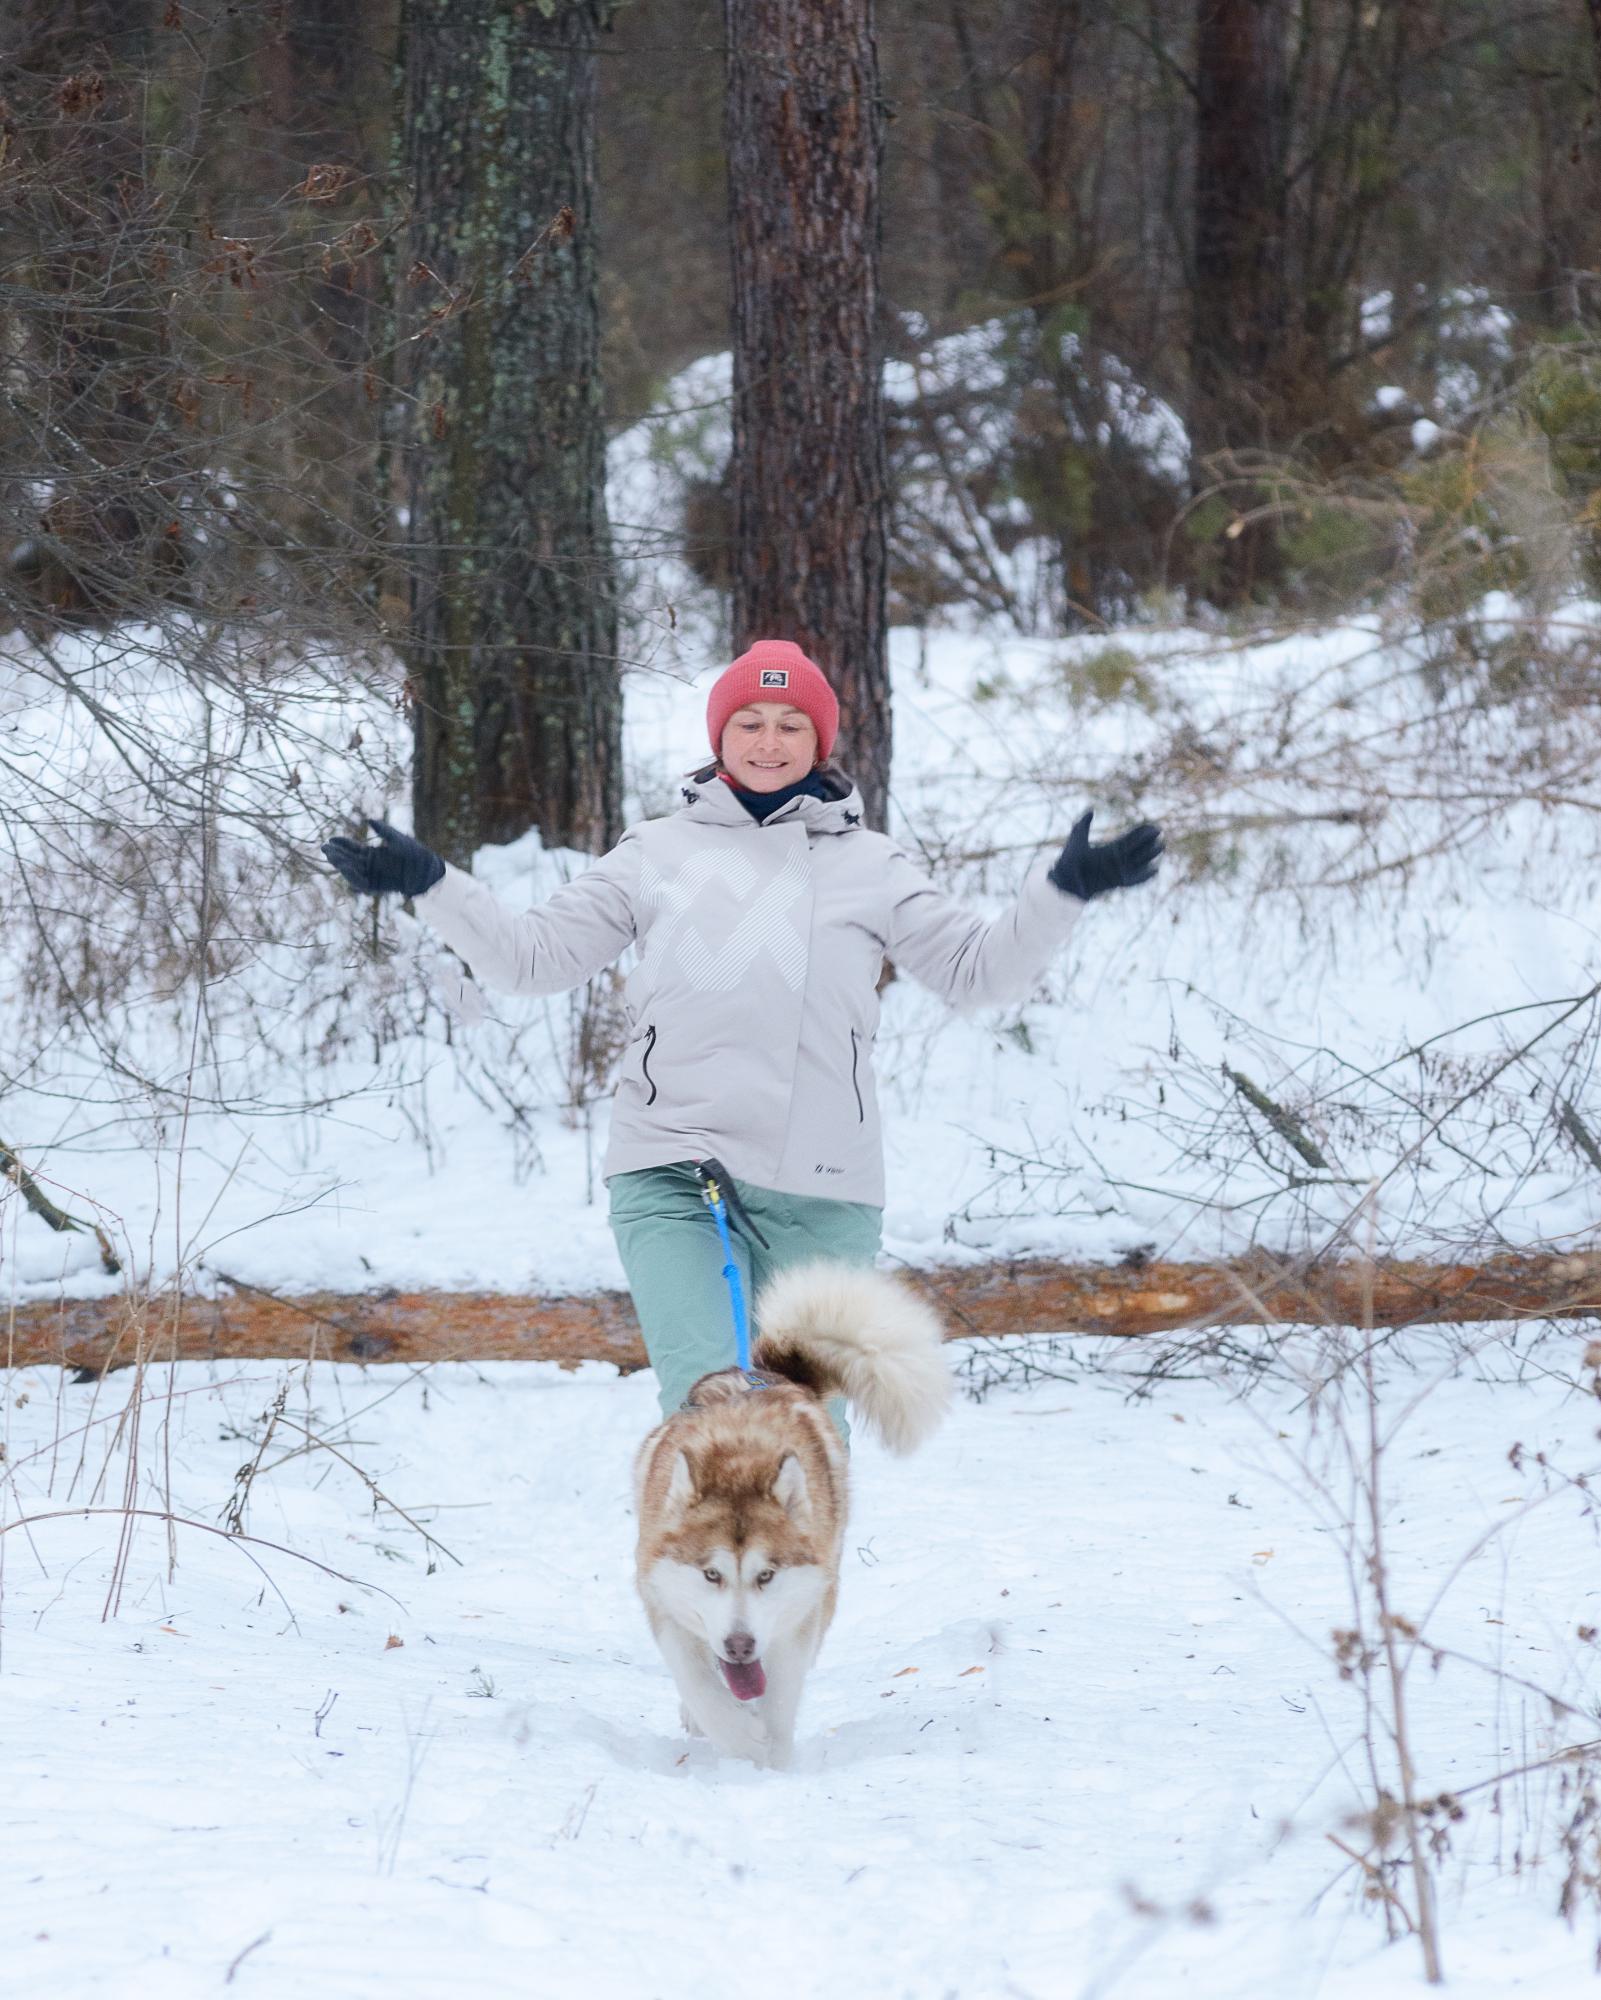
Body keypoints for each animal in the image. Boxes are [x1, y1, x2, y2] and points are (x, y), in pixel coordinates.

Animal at [628, 1264, 952, 1768]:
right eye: (711, 1575)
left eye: (766, 1575)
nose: (740, 1645)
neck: (739, 1458)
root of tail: (768, 1373)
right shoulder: (662, 1602)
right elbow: (700, 1686)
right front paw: (739, 1740)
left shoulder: (797, 1618)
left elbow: (780, 1695)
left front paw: (772, 1761)